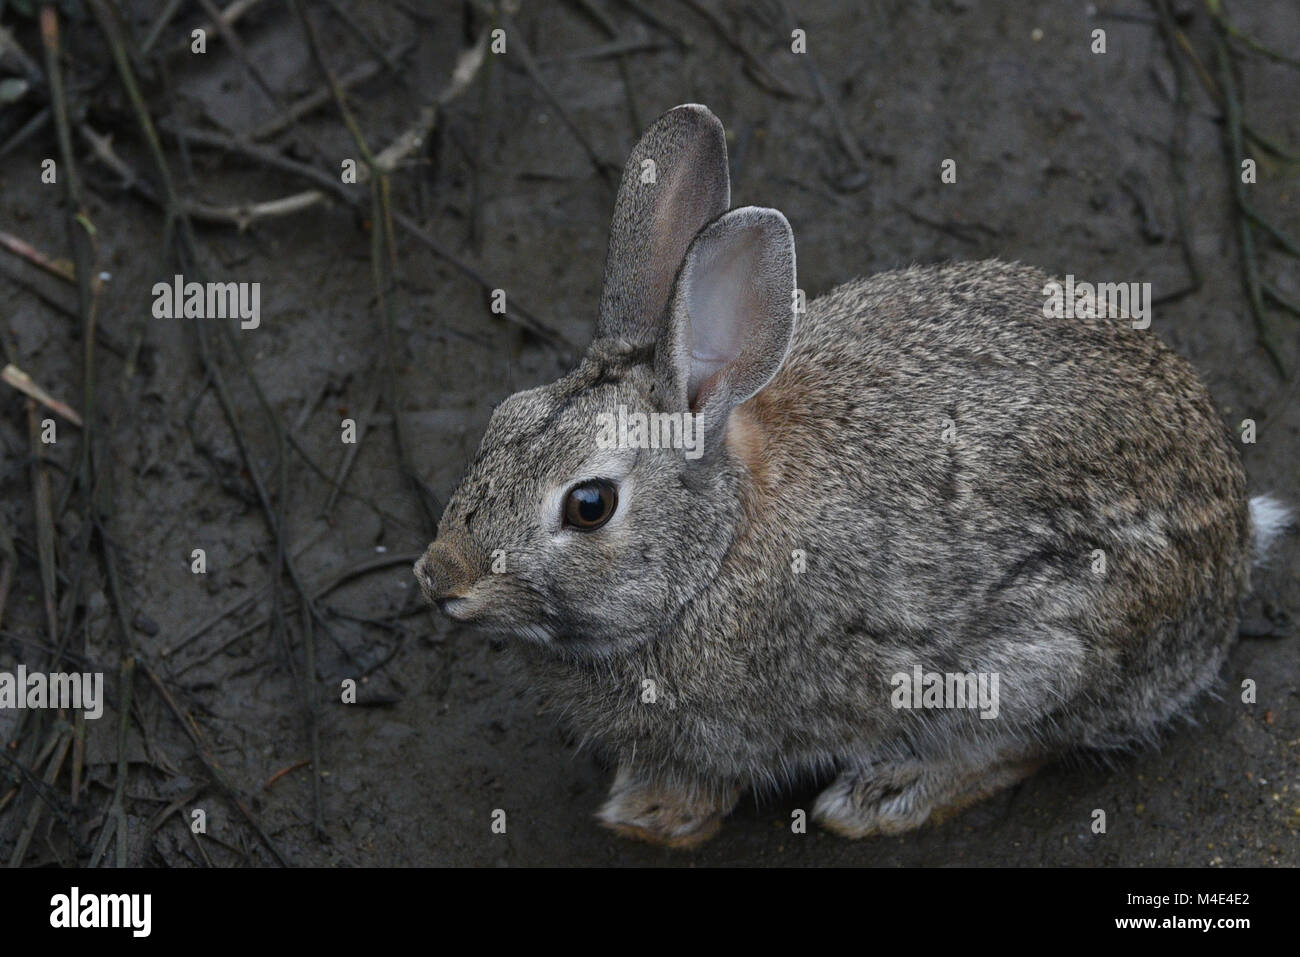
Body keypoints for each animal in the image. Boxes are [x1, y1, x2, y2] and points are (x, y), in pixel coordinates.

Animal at [414, 103, 1289, 848]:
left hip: (1052, 645)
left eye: (589, 504)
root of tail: (1236, 544)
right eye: (503, 417)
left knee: (1020, 743)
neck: (718, 547)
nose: (440, 575)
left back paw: (881, 795)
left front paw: (654, 816)